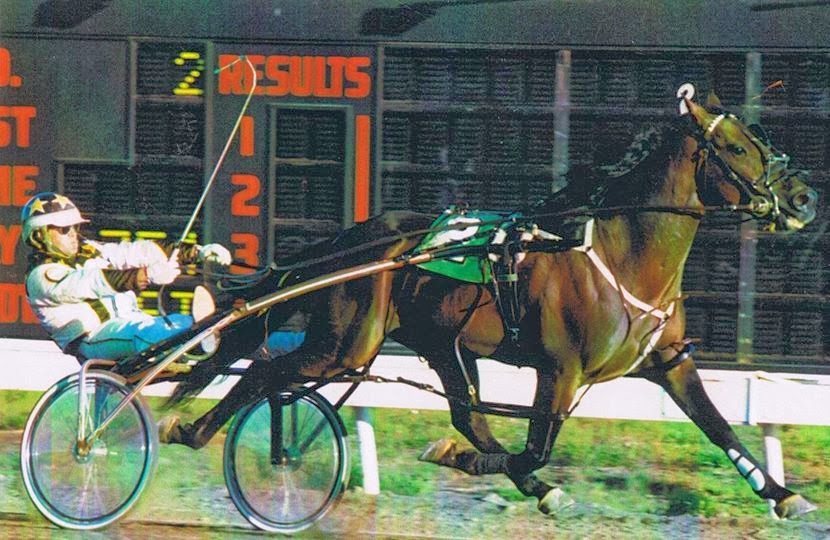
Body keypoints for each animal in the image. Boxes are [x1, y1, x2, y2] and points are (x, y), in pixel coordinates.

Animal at [159, 90, 818, 519]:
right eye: (738, 147)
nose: (805, 198)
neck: (621, 251)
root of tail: (351, 241)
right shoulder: (560, 367)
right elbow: (537, 446)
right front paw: (480, 466)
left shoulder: (670, 359)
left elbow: (717, 424)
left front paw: (783, 494)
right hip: (346, 344)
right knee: (265, 373)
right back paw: (187, 428)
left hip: (438, 343)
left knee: (465, 414)